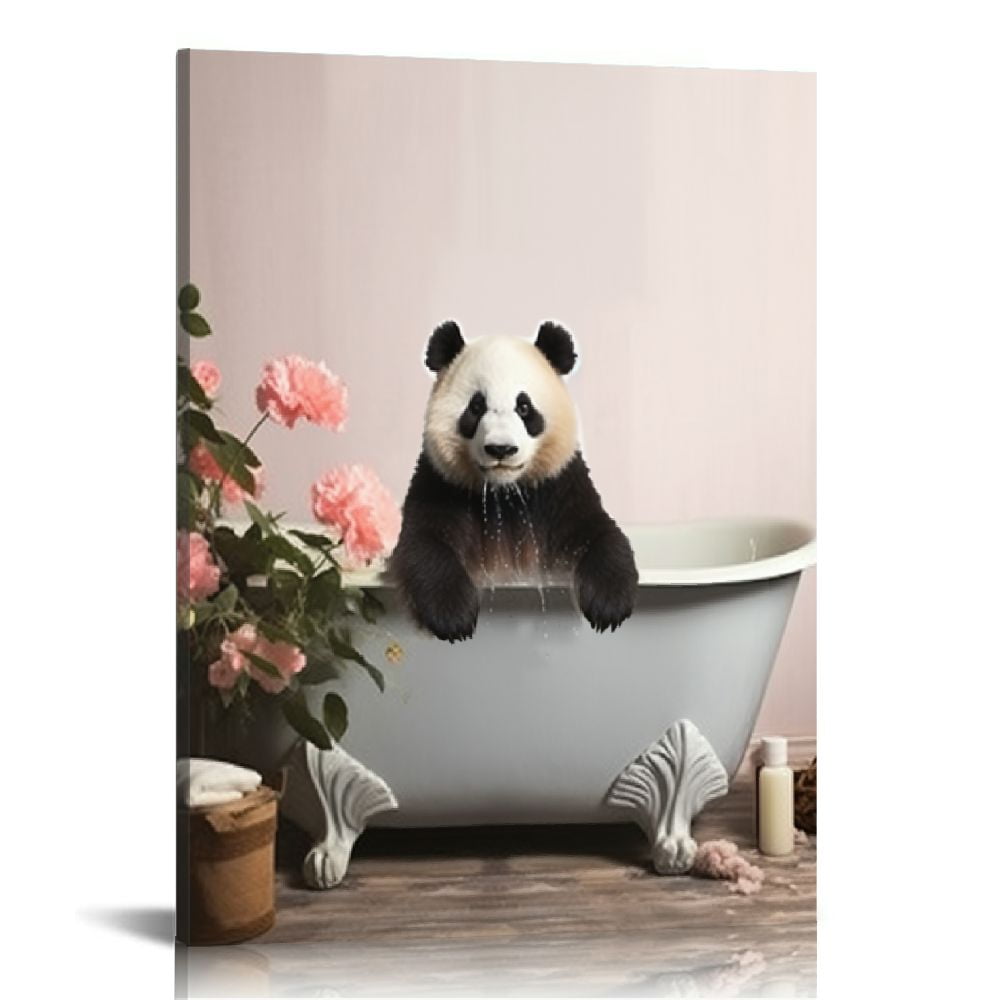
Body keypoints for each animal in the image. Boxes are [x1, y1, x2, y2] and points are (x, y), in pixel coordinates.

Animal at [389, 320, 639, 642]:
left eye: (524, 408)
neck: (503, 492)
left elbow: (597, 532)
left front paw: (609, 605)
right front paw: (453, 616)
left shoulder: (559, 483)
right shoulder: (442, 482)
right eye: (476, 407)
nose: (501, 449)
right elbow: (422, 540)